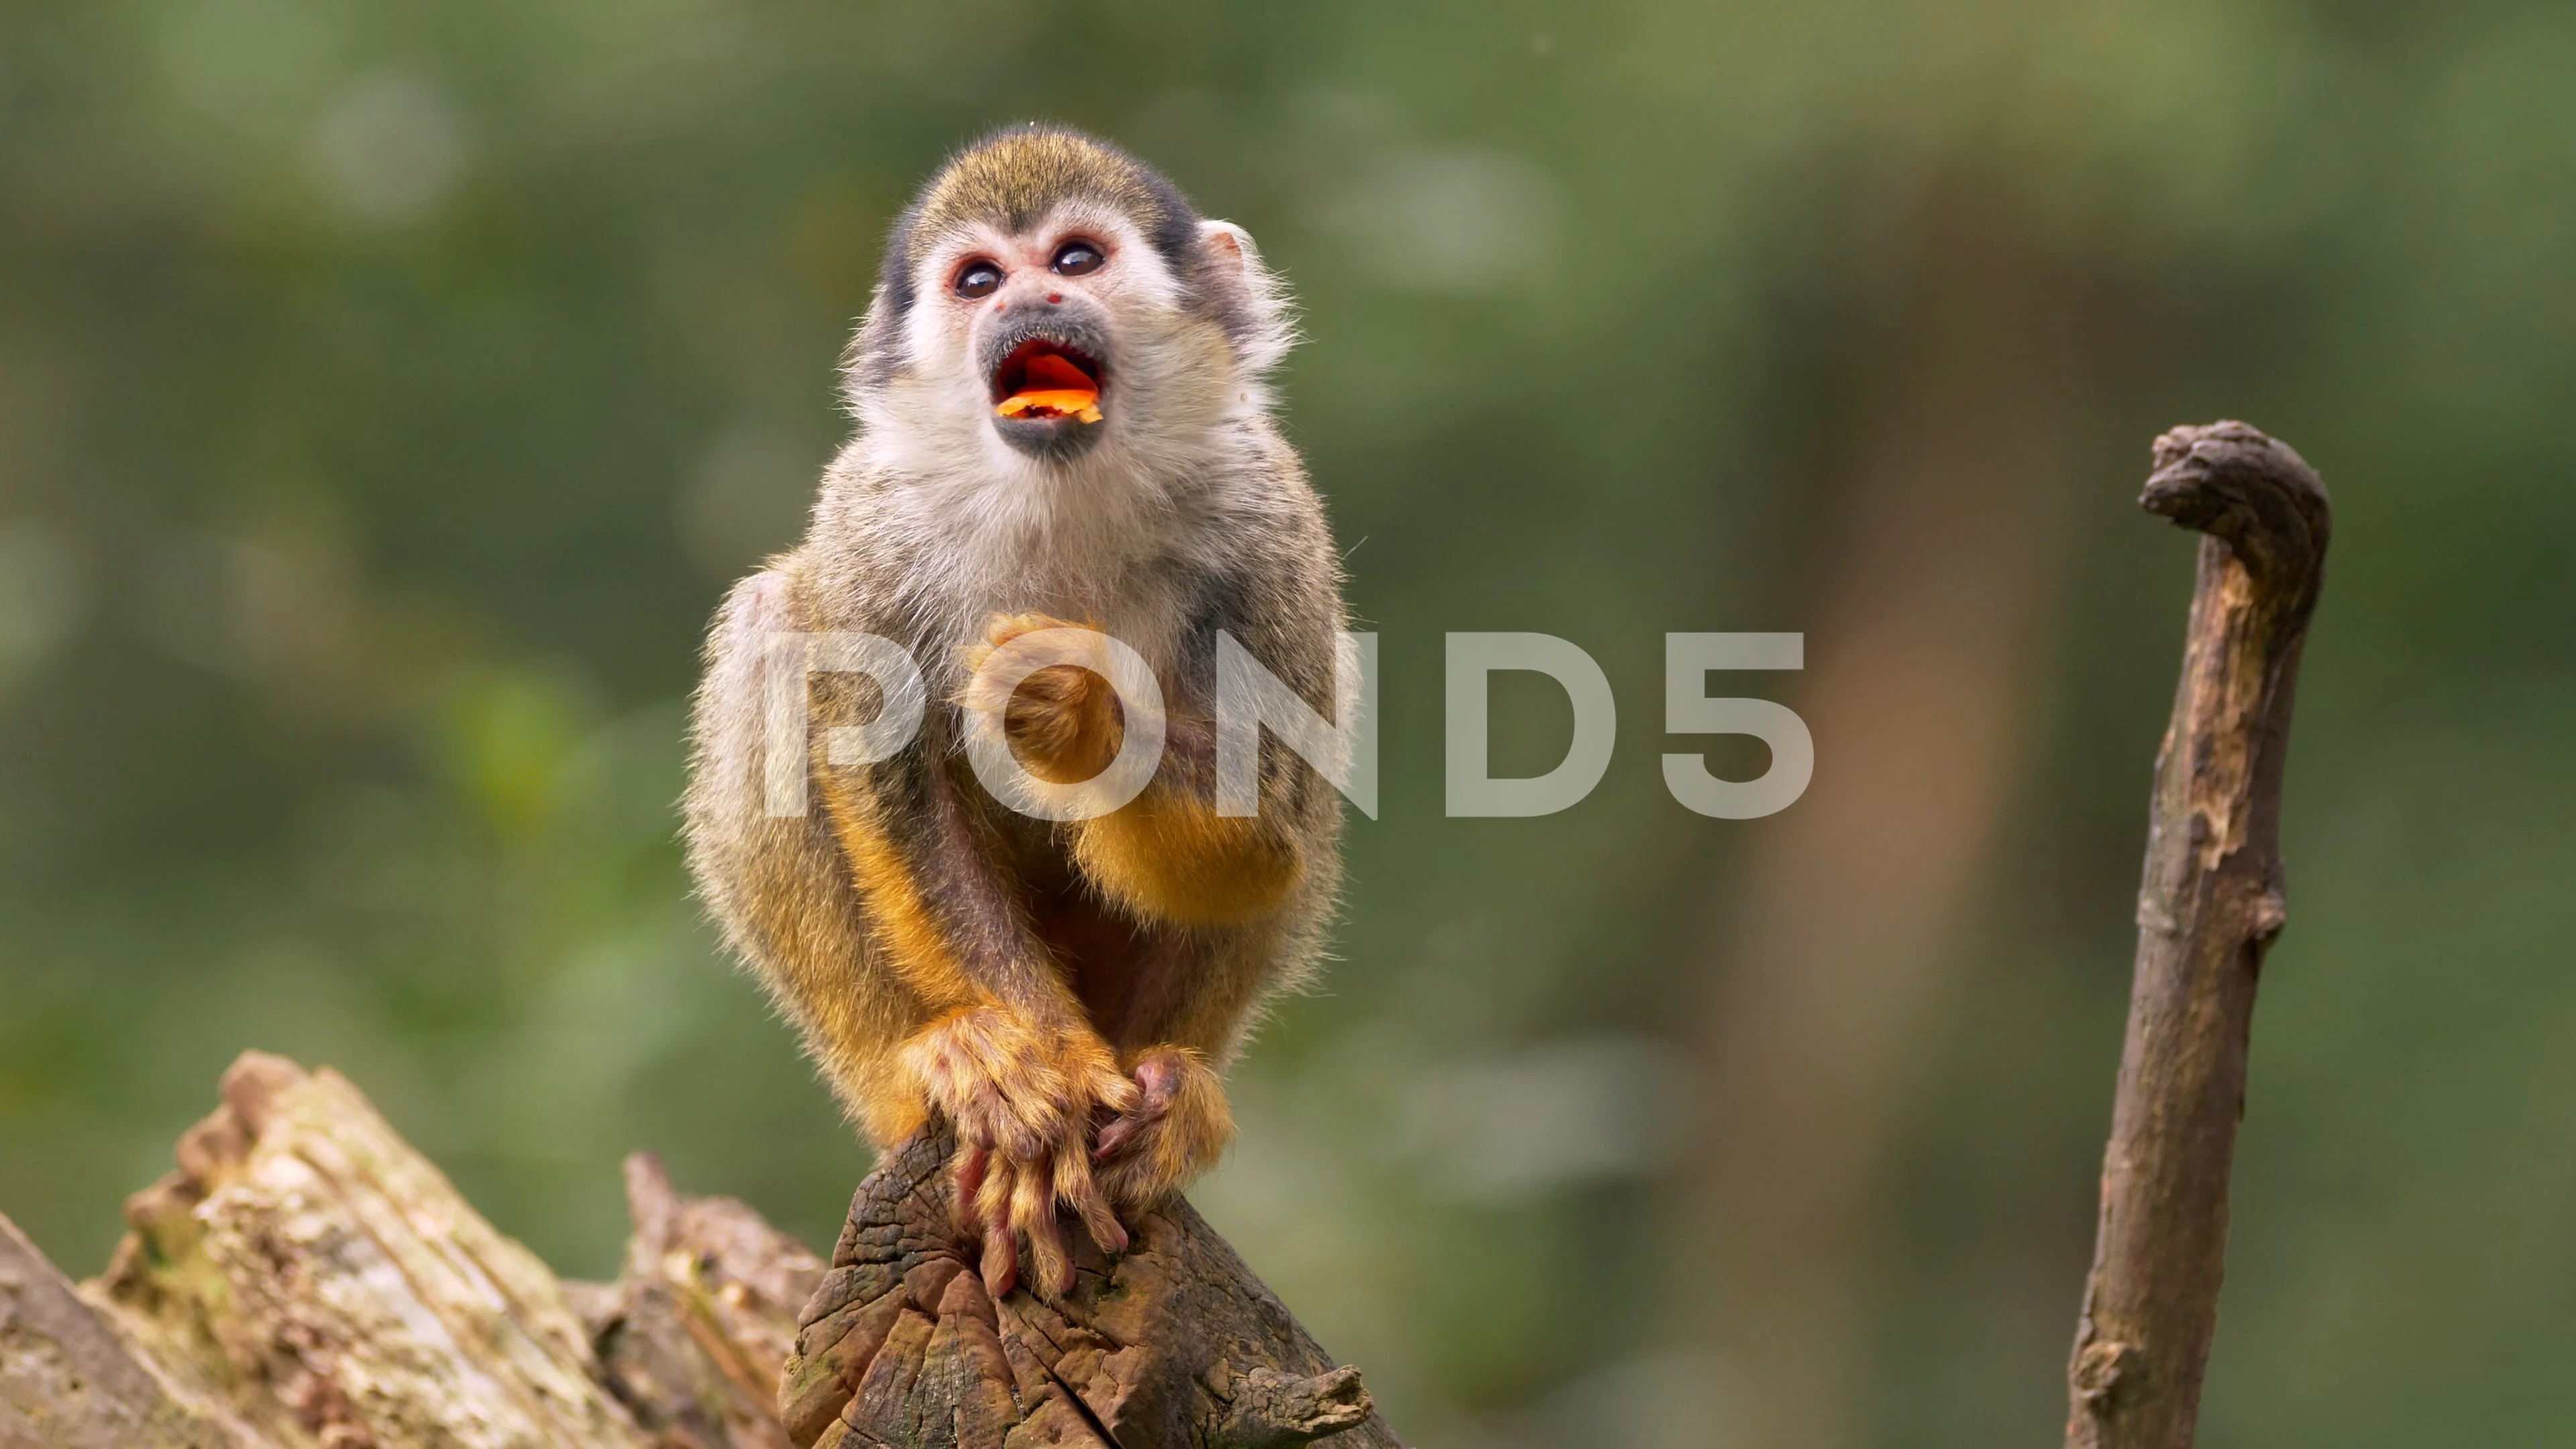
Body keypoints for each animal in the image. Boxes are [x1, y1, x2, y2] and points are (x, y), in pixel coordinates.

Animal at [681, 125, 1350, 1300]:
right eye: (981, 280)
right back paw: (939, 1064)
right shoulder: (872, 509)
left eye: (1075, 260)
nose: (1029, 300)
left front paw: (1079, 714)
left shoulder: (1272, 521)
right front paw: (1040, 1071)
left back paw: (1167, 1092)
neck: (1065, 485)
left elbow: (1265, 833)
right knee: (779, 623)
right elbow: (894, 786)